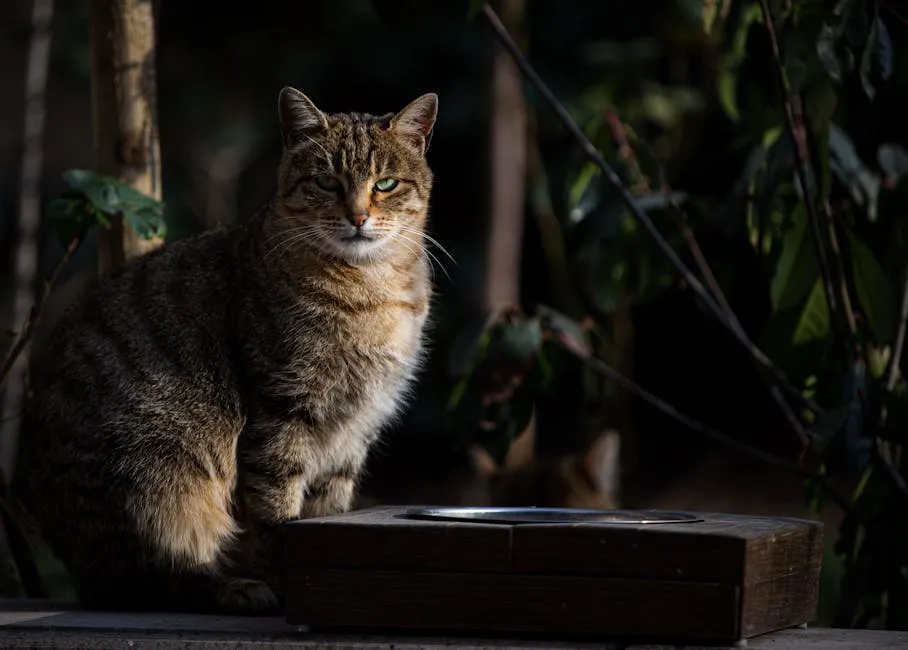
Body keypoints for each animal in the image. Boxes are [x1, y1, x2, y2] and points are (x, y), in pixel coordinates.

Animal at [21, 86, 440, 612]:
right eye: (326, 182)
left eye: (385, 184)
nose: (359, 217)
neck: (371, 286)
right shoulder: (282, 413)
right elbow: (276, 512)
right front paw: (284, 580)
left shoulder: (354, 430)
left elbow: (326, 512)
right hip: (157, 479)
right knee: (147, 581)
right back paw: (236, 588)